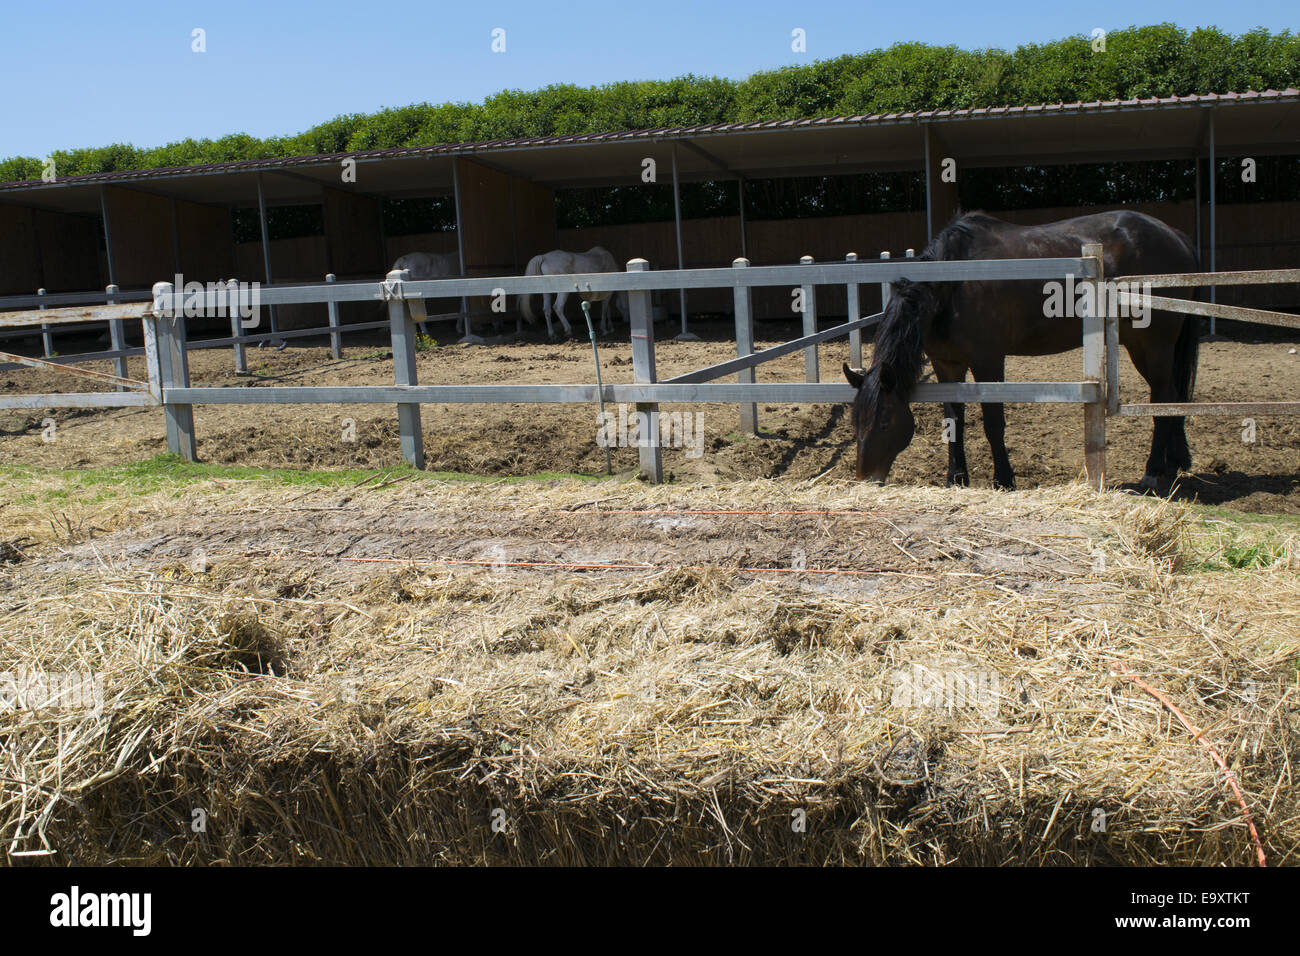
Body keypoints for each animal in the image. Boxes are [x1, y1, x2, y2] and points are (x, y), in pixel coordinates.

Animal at [843, 210, 1199, 491]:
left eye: (884, 422)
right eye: (855, 423)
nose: (866, 480)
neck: (952, 286)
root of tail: (1176, 236)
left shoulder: (988, 360)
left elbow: (993, 422)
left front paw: (1003, 480)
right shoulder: (947, 363)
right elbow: (953, 419)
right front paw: (956, 478)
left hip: (1152, 345)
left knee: (1163, 397)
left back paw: (1153, 472)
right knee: (1173, 396)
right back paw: (1173, 463)